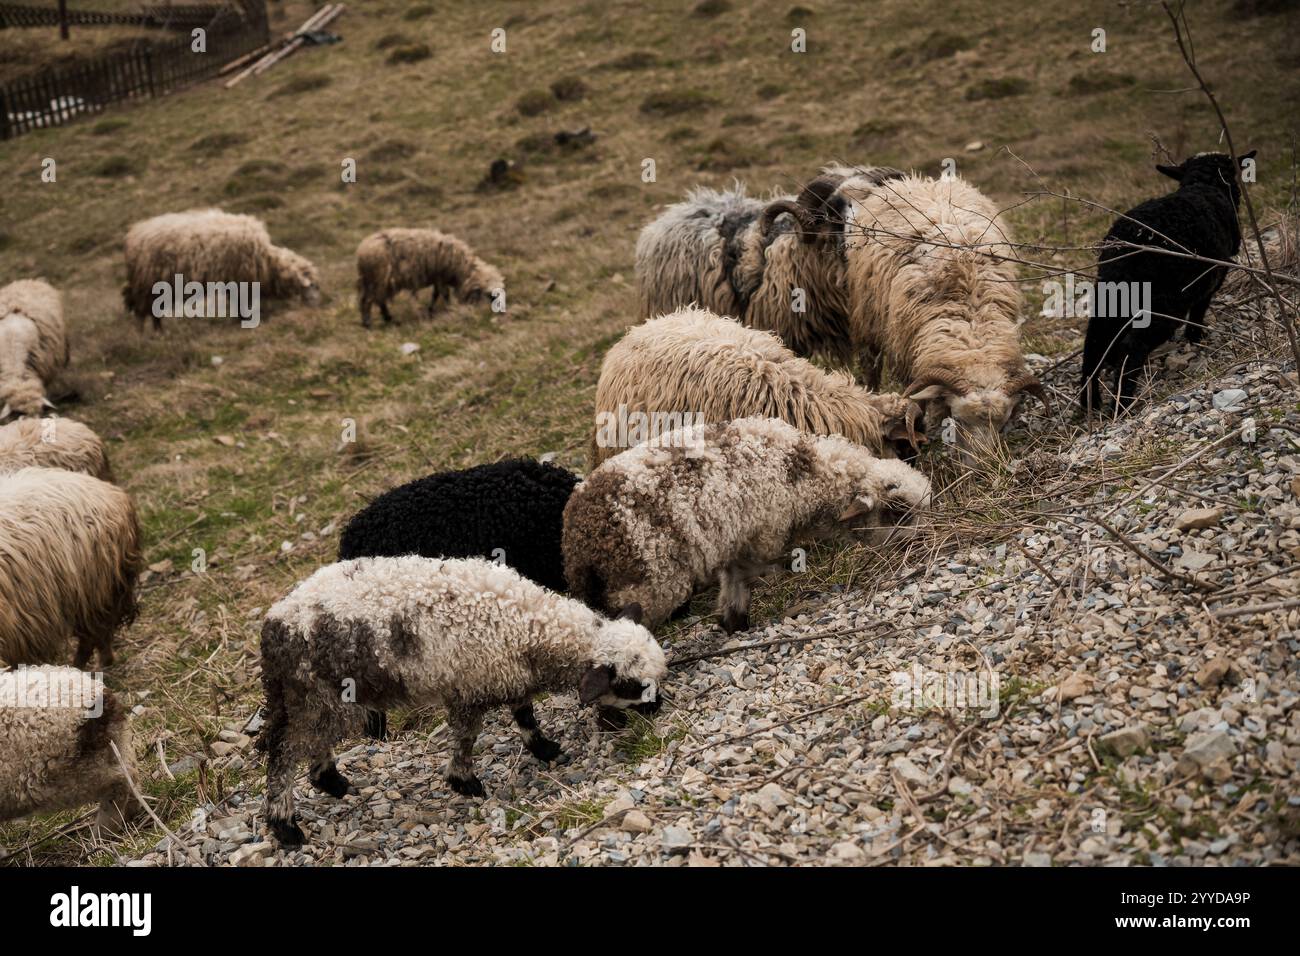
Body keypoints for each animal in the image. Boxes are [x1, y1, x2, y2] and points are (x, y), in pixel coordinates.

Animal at [122, 208, 321, 331]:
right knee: (143, 309)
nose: (317, 306)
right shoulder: (239, 282)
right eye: (311, 285)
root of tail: (134, 235)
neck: (265, 260)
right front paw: (245, 321)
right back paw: (153, 334)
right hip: (149, 283)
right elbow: (240, 306)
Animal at [258, 555, 667, 846]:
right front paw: (465, 782)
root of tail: (272, 625)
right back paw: (285, 826)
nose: (658, 708)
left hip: (314, 697)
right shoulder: (469, 688)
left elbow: (524, 712)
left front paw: (543, 748)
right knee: (284, 753)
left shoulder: (505, 674)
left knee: (310, 741)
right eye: (634, 687)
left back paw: (330, 783)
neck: (532, 627)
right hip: (315, 692)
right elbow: (468, 736)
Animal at [355, 228, 504, 327]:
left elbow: (435, 294)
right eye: (492, 296)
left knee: (371, 300)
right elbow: (444, 294)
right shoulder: (440, 276)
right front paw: (449, 309)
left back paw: (379, 320)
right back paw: (373, 322)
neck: (461, 268)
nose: (501, 314)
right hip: (378, 279)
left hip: (372, 281)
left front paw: (430, 311)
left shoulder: (437, 278)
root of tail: (362, 251)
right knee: (371, 300)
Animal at [563, 416, 932, 634]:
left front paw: (732, 622)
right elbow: (747, 575)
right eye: (897, 513)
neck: (802, 472)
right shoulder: (763, 533)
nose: (926, 540)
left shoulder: (736, 538)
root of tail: (577, 541)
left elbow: (734, 580)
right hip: (645, 586)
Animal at [1081, 151, 1257, 413]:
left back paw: (1089, 403)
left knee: (1094, 342)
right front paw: (1195, 336)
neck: (1205, 184)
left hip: (1111, 294)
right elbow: (1200, 307)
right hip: (1165, 302)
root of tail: (1126, 248)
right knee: (1133, 346)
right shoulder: (1214, 274)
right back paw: (1121, 403)